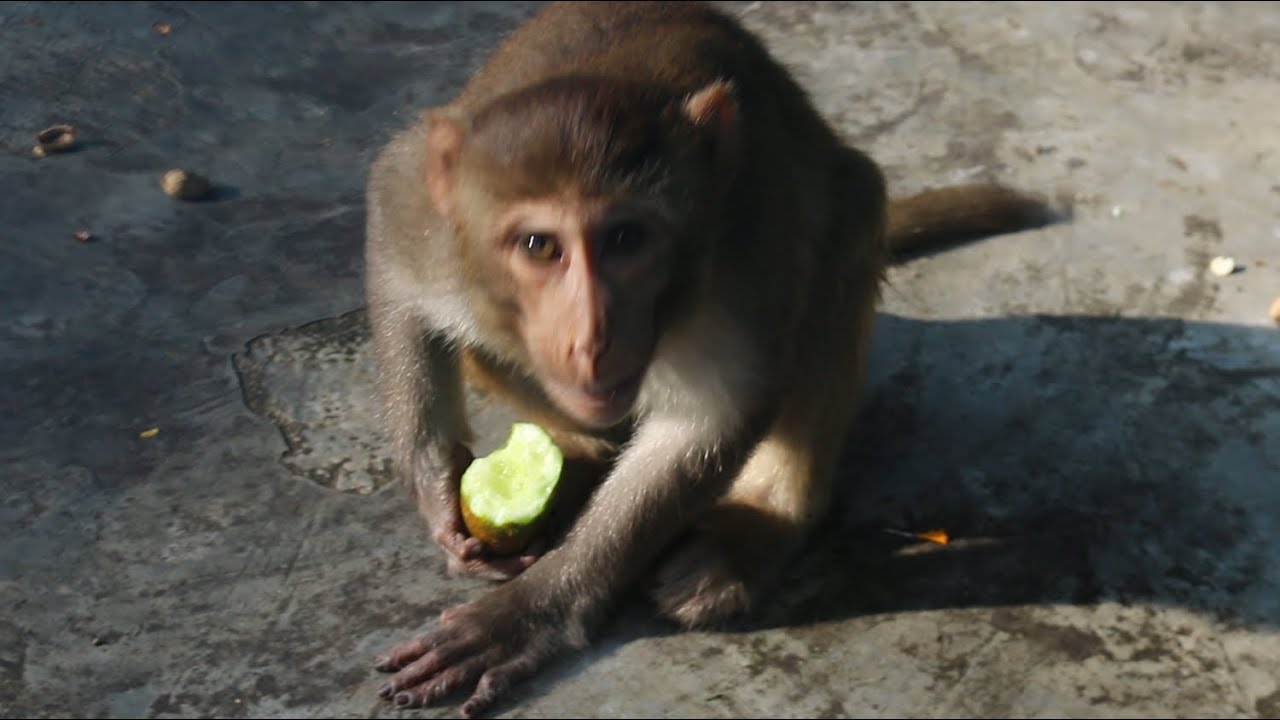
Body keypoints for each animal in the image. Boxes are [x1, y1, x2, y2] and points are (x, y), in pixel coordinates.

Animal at [362, 2, 1061, 716]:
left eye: (625, 239)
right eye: (539, 246)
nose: (591, 334)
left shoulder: (741, 260)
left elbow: (712, 417)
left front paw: (536, 610)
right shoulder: (430, 221)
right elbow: (396, 264)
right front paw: (436, 487)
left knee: (844, 239)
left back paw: (763, 528)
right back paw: (578, 457)